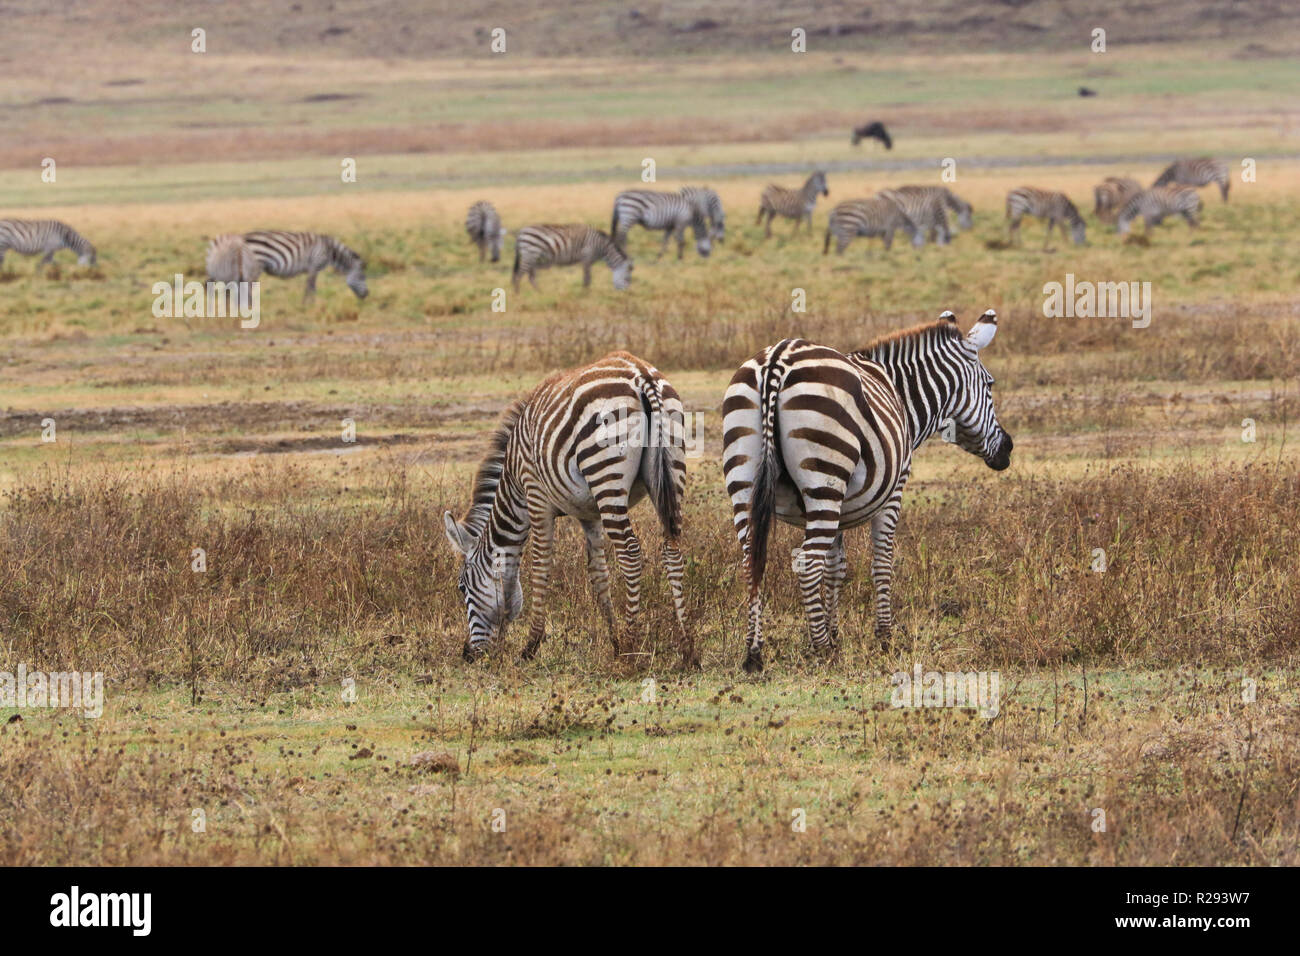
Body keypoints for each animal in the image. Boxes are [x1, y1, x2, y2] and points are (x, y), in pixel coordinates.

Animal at [443, 351, 693, 665]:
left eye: (462, 588)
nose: (468, 655)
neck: (513, 486)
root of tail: (641, 373)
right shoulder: (590, 514)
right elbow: (598, 573)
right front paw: (614, 641)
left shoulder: (536, 496)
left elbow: (540, 566)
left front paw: (530, 645)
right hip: (671, 468)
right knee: (672, 549)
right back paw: (688, 648)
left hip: (605, 473)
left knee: (630, 553)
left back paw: (631, 648)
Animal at [722, 310, 1012, 672]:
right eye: (989, 385)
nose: (1008, 449)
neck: (902, 396)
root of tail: (777, 359)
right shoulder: (894, 492)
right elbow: (882, 561)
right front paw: (882, 636)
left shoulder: (837, 509)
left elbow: (836, 567)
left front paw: (833, 631)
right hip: (824, 475)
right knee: (807, 562)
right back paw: (822, 651)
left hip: (747, 480)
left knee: (752, 560)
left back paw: (754, 652)